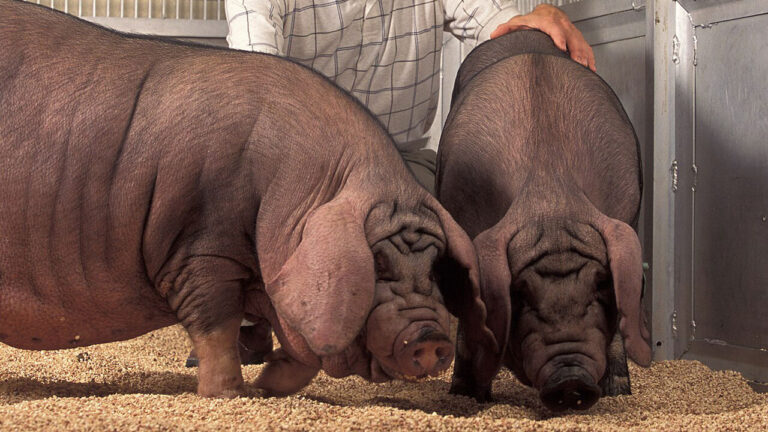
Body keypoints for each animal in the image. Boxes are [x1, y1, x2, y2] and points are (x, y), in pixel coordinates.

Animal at [0, 0, 497, 398]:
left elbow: (300, 349)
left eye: (435, 267)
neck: (293, 191)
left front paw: (266, 390)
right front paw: (229, 395)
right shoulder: (199, 247)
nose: (432, 337)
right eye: (376, 262)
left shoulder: (275, 277)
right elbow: (217, 330)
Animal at [436, 30, 651, 411]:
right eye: (520, 294)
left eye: (601, 285)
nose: (571, 378)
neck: (550, 195)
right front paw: (468, 394)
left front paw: (619, 390)